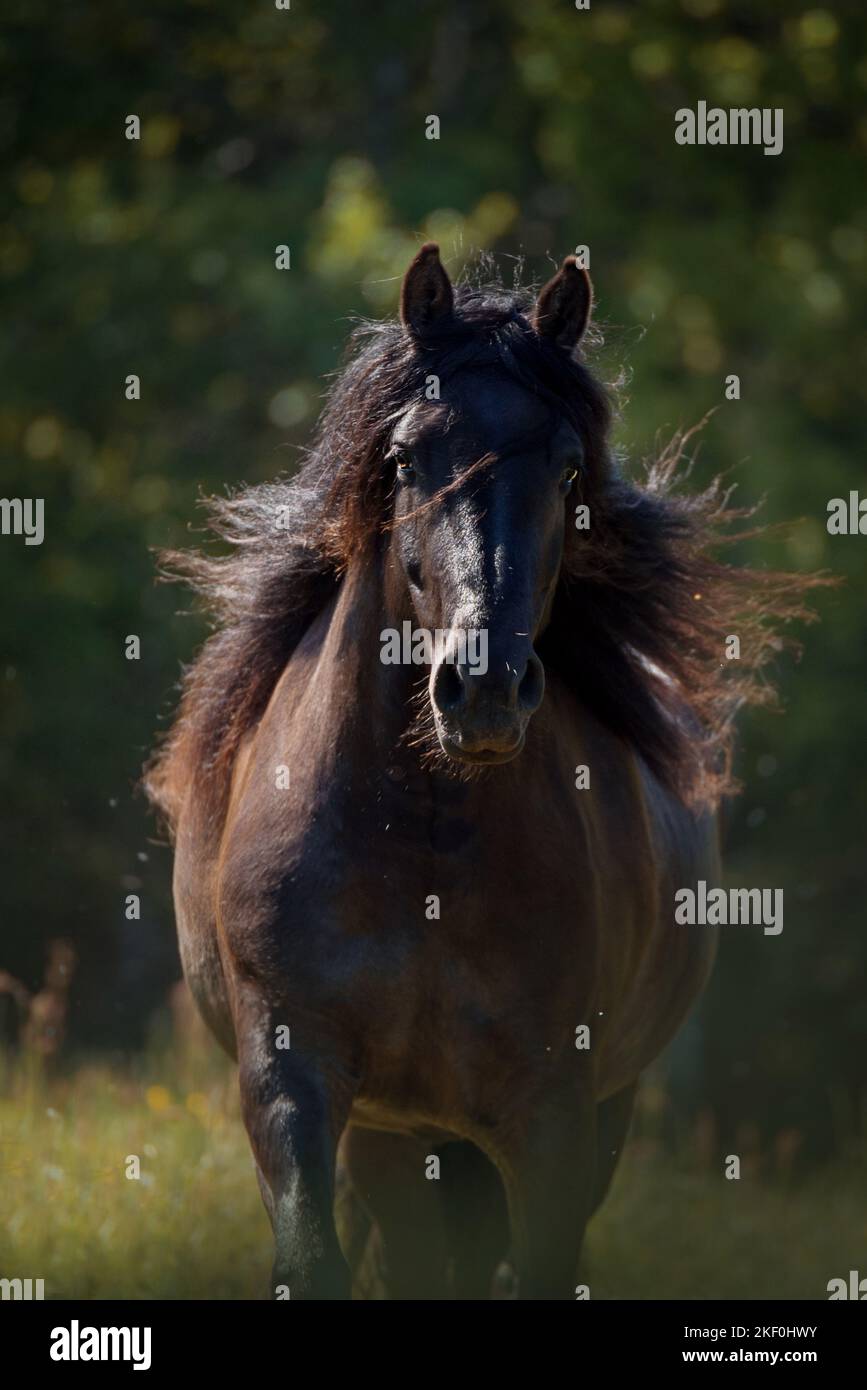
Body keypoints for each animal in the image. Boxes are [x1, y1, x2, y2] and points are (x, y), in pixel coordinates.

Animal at [146, 244, 816, 1299]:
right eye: (404, 457)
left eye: (570, 465)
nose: (486, 686)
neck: (420, 844)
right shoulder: (292, 1081)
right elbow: (313, 1257)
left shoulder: (553, 1120)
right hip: (392, 1139)